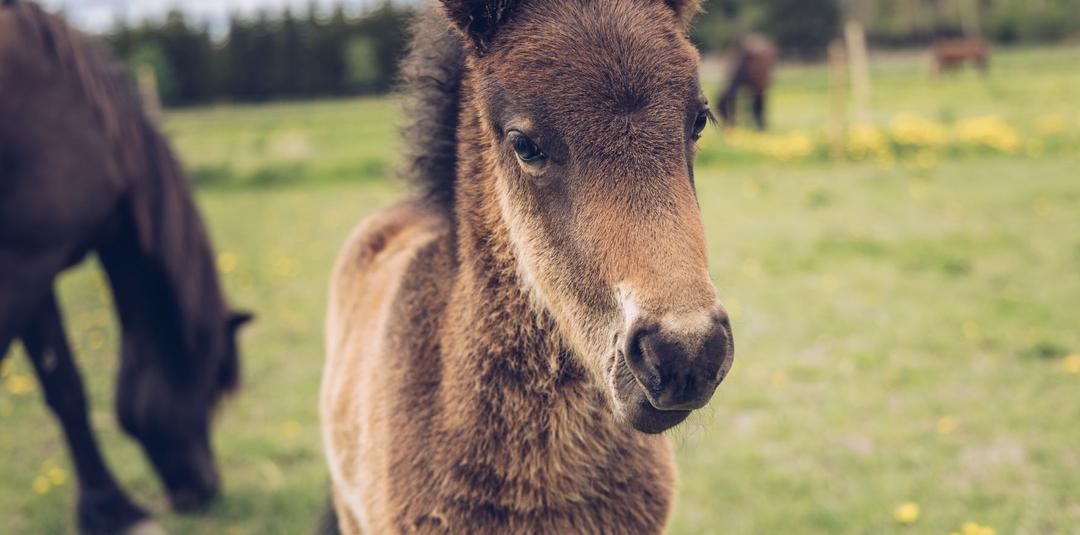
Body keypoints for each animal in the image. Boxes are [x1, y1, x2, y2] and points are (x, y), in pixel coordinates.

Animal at [0, 3, 250, 533]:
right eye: (208, 392)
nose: (207, 488)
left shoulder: (33, 269)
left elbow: (65, 388)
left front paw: (106, 507)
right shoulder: (25, 261)